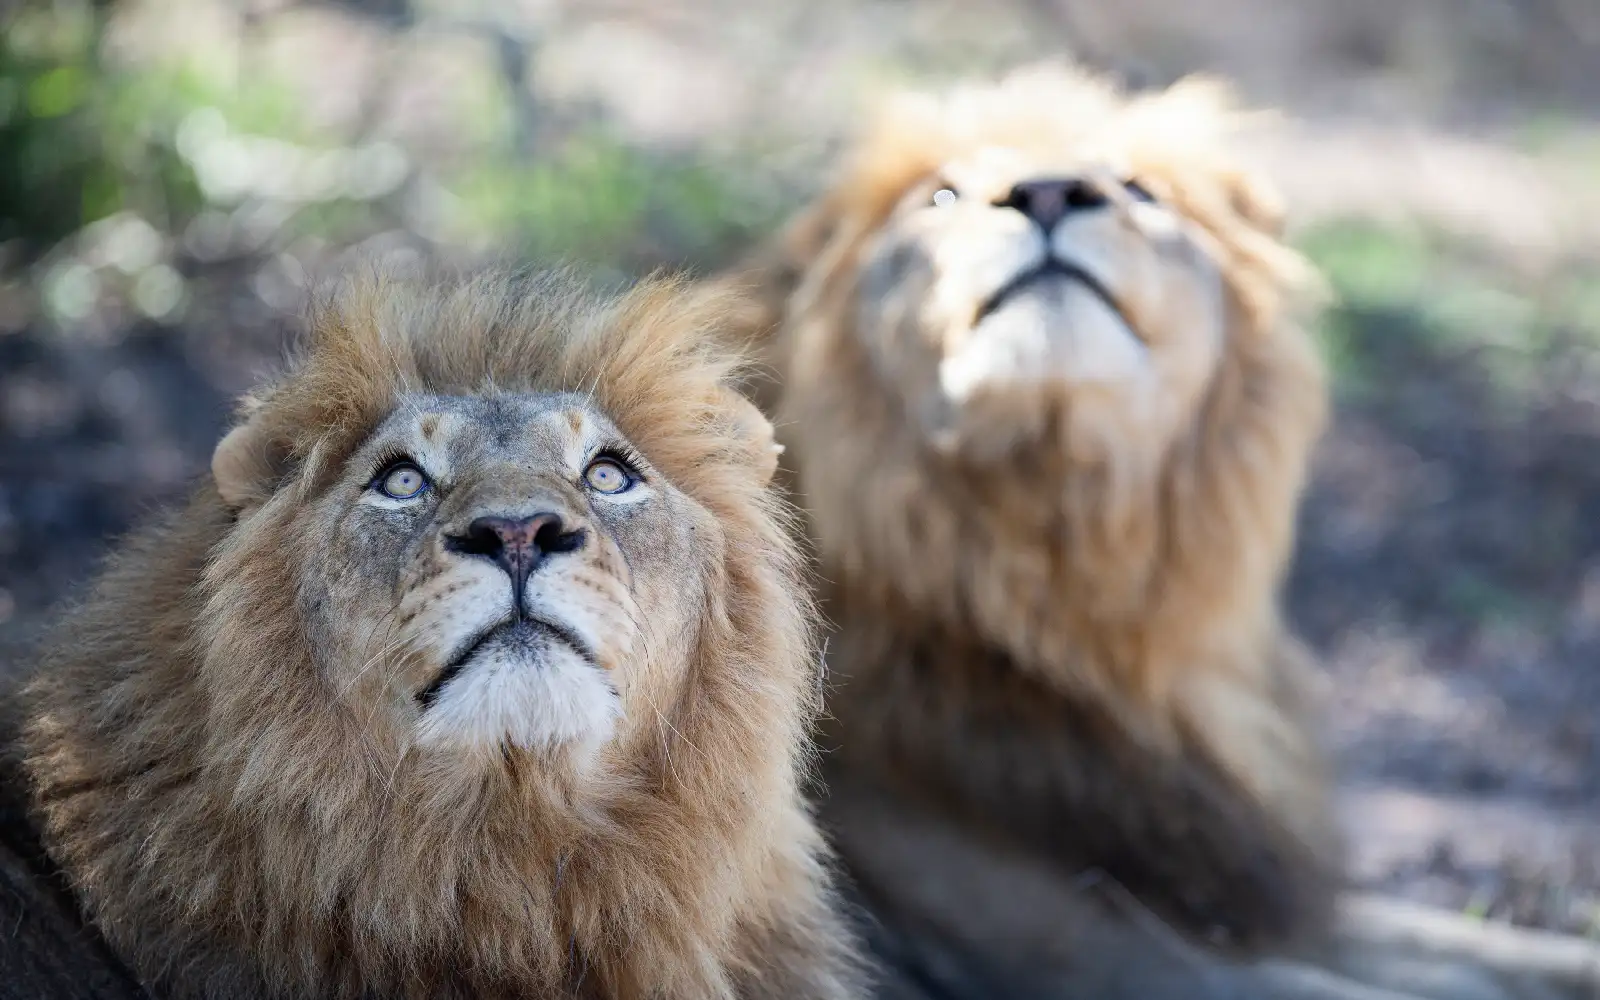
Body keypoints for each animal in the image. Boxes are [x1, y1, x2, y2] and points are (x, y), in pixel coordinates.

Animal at [720, 64, 1600, 1000]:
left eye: (1136, 189)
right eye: (940, 196)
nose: (1046, 192)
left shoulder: (1237, 903)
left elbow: (1496, 951)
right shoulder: (1070, 949)